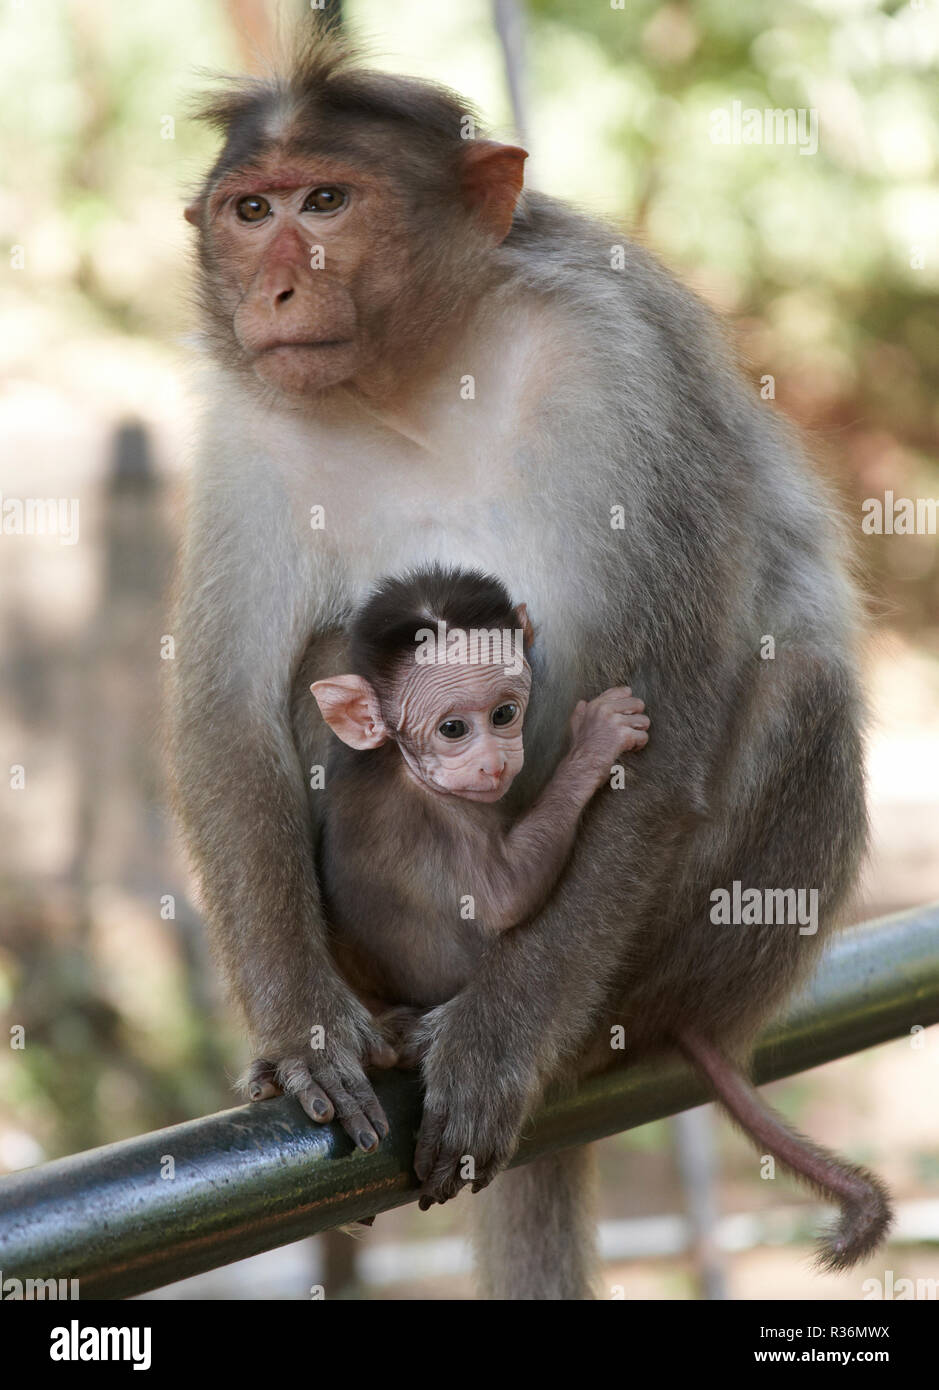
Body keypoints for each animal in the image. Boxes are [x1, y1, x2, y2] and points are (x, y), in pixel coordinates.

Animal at [308, 565, 650, 1034]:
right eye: (452, 729)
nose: (492, 764)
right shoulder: (445, 816)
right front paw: (595, 741)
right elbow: (506, 895)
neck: (400, 760)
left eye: (503, 714)